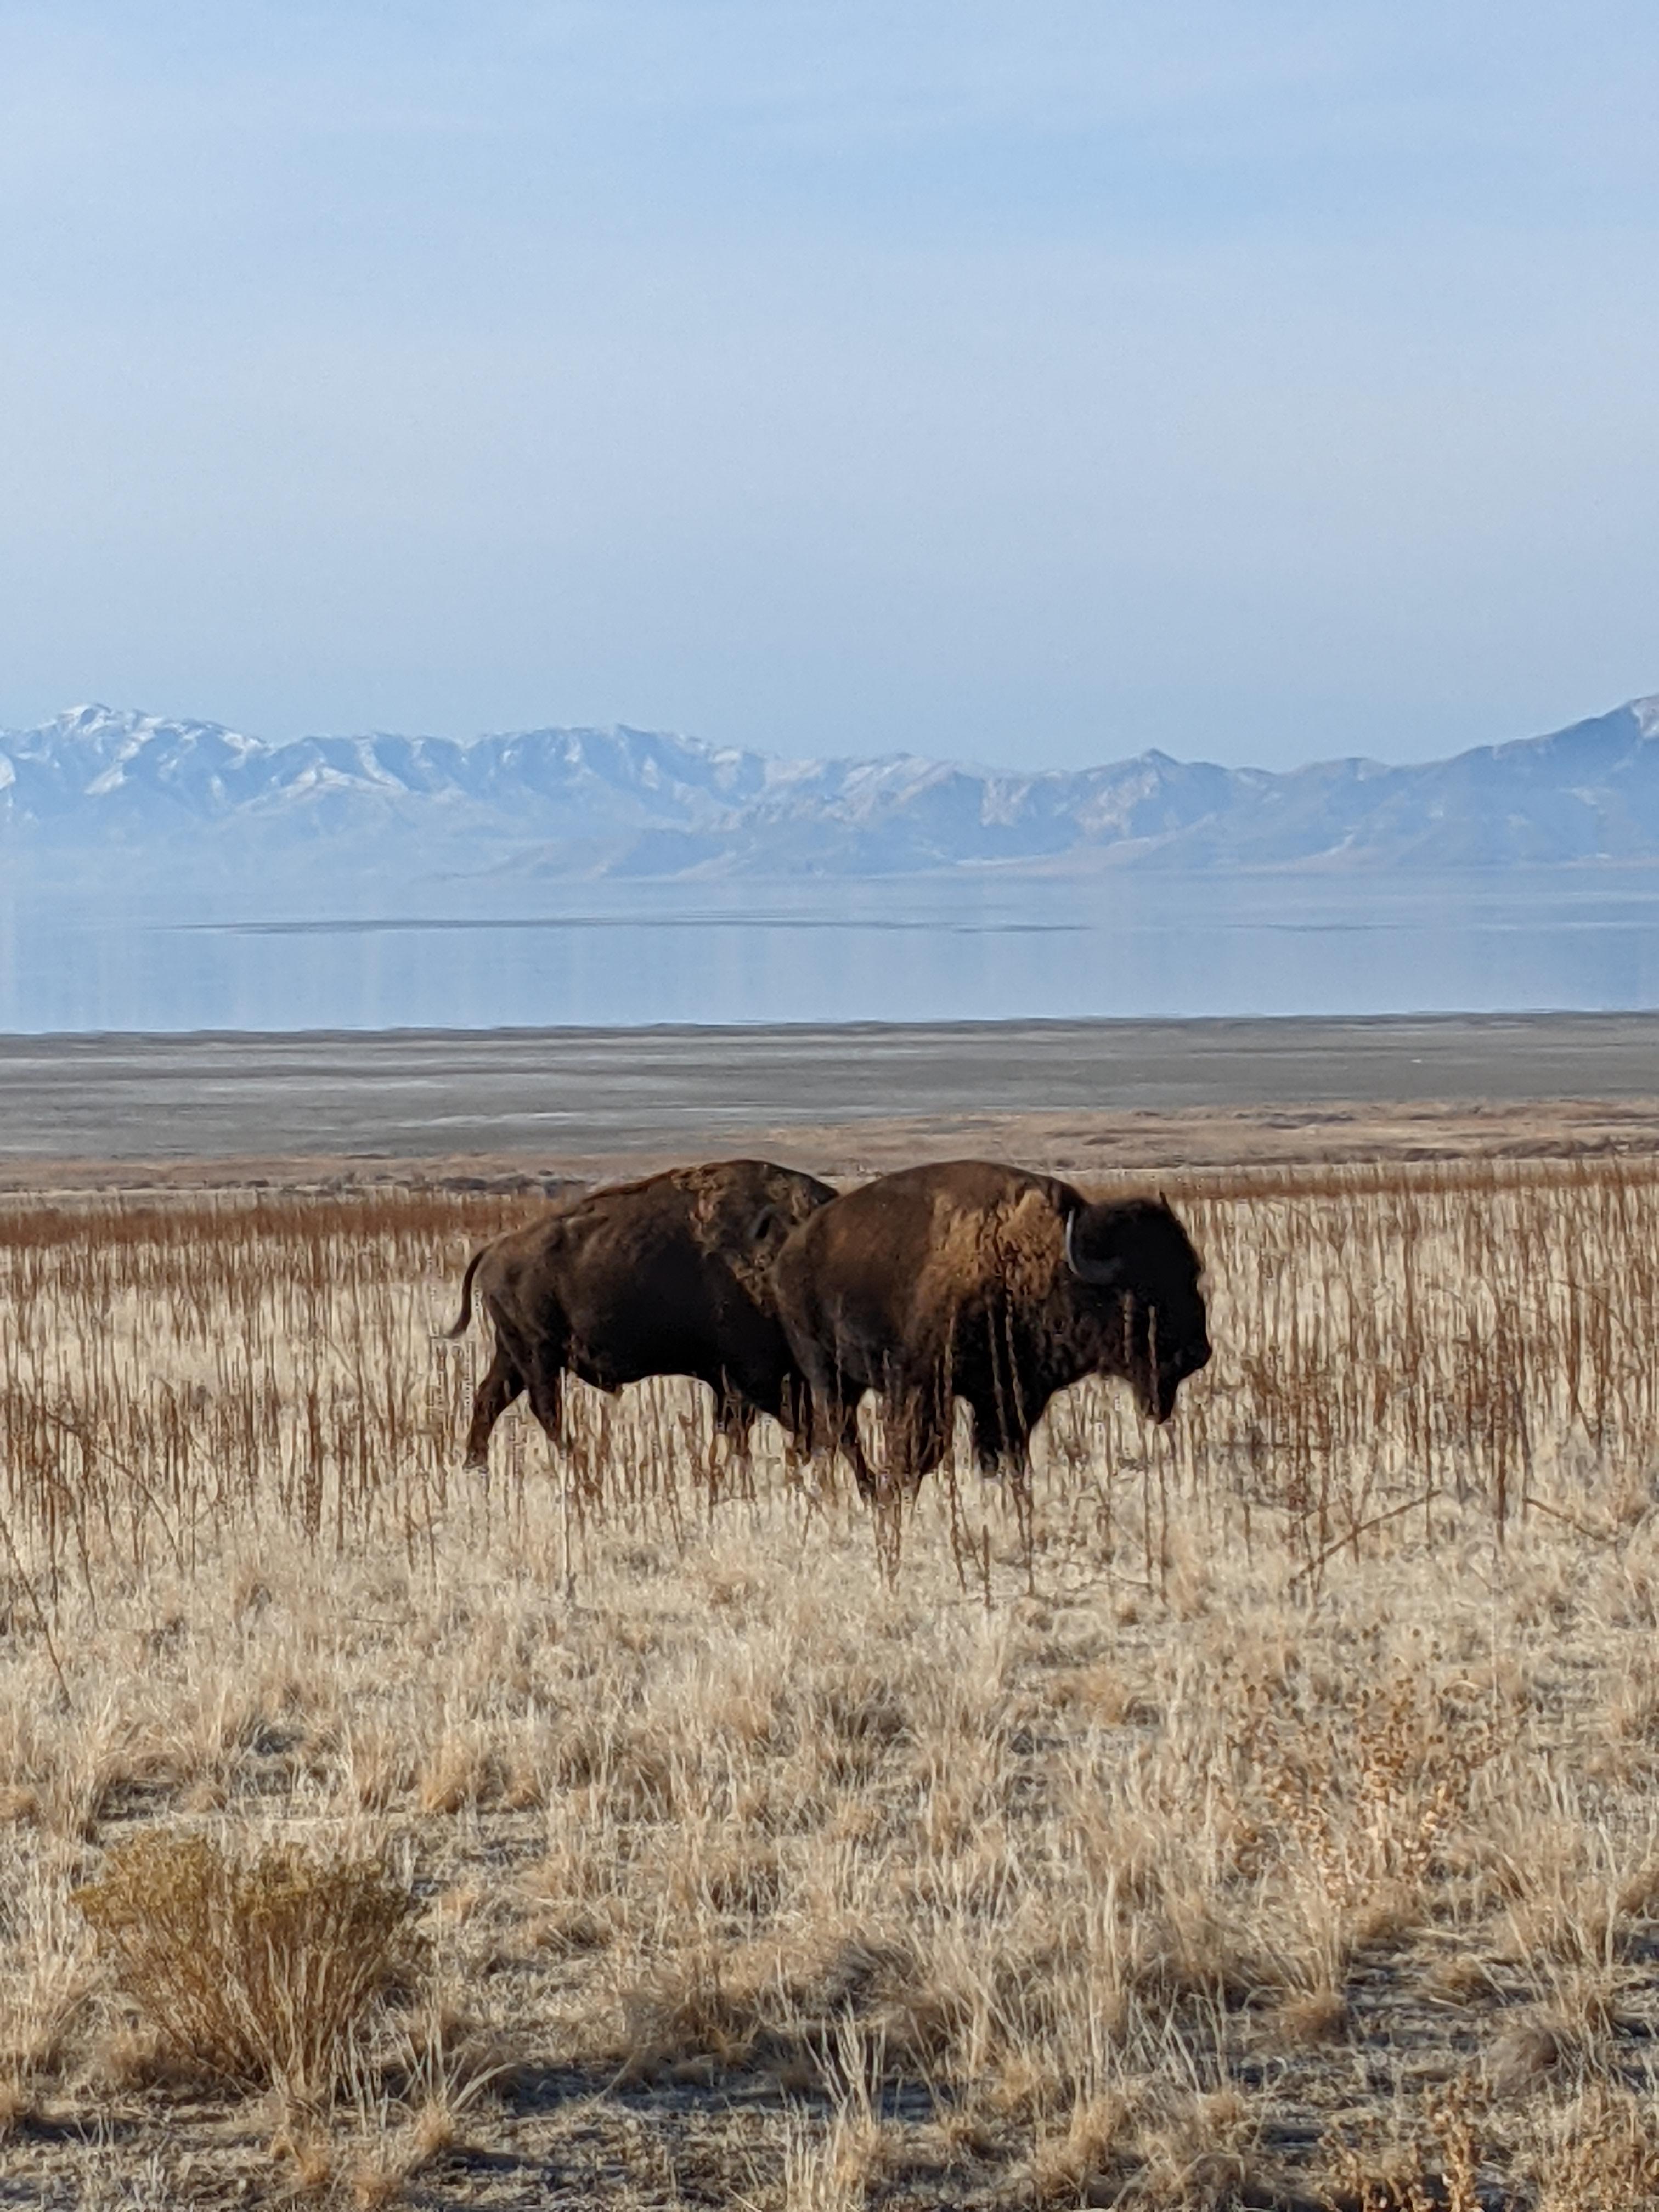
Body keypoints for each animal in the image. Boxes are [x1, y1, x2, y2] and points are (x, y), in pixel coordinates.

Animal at [444, 1159, 836, 1469]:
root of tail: (497, 1248)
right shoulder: (746, 1374)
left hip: (513, 1354)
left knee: (491, 1398)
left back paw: (477, 1464)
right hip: (537, 1354)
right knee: (544, 1408)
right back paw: (574, 1461)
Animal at [773, 1159, 1210, 1496]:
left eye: (1192, 1273)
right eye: (1144, 1291)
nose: (1197, 1353)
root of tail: (790, 1252)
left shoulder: (1013, 1396)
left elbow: (1001, 1450)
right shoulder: (925, 1385)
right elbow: (923, 1447)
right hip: (826, 1372)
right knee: (843, 1433)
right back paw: (867, 1492)